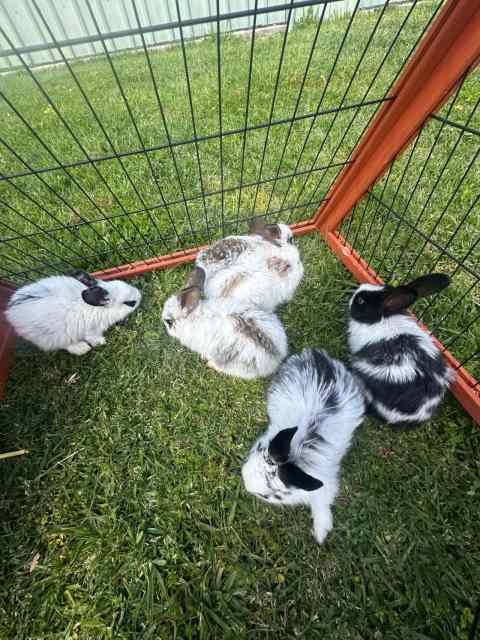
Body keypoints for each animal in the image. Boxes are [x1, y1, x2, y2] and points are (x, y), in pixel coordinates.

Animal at [5, 269, 141, 355]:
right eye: (130, 303)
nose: (140, 295)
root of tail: (11, 311)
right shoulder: (91, 329)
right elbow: (93, 337)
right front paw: (101, 342)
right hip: (52, 335)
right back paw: (81, 348)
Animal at [242, 348, 365, 544]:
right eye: (257, 448)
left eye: (270, 495)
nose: (245, 483)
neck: (297, 456)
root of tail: (317, 355)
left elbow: (321, 506)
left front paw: (321, 534)